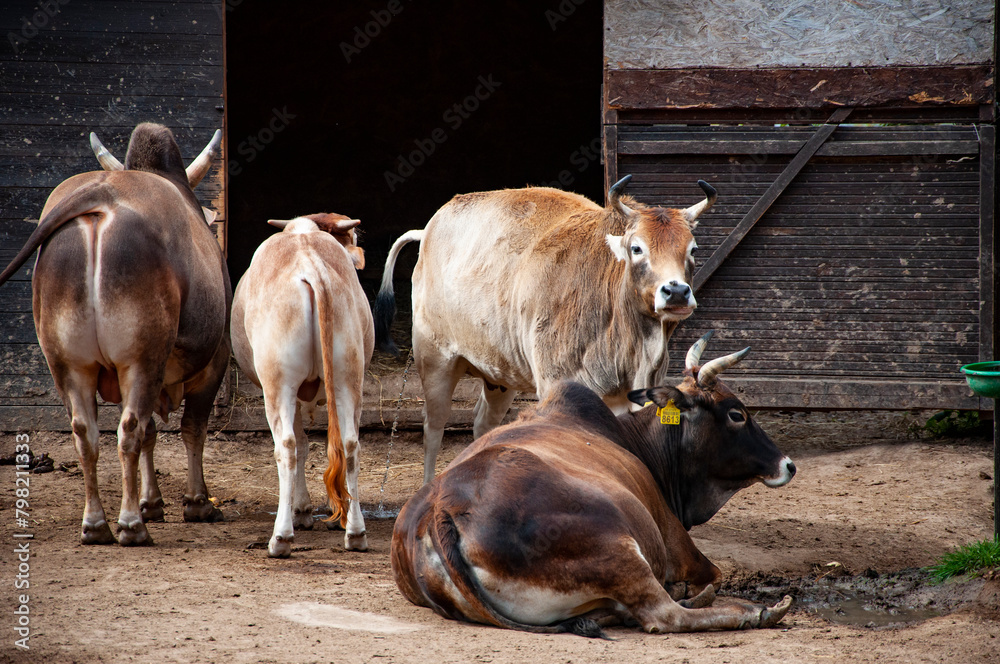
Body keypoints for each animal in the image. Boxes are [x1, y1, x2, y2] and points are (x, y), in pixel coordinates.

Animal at [0, 123, 230, 545]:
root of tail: (103, 195)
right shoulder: (215, 358)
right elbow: (191, 429)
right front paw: (195, 503)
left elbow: (156, 432)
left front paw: (153, 502)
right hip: (141, 359)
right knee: (129, 430)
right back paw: (130, 524)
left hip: (68, 364)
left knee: (85, 433)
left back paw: (96, 524)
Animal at [230, 213, 374, 556]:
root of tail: (310, 265)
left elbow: (303, 444)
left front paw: (303, 509)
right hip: (349, 377)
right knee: (350, 445)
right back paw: (355, 532)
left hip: (278, 385)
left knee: (287, 446)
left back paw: (281, 537)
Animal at [374, 176, 716, 484]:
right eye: (636, 248)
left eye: (693, 249)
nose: (676, 292)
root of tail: (430, 228)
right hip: (435, 361)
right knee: (433, 429)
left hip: (499, 376)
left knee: (484, 422)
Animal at [391, 333, 796, 636]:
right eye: (736, 414)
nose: (788, 465)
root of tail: (440, 511)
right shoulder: (680, 546)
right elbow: (714, 574)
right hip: (619, 550)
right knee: (664, 614)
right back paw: (755, 612)